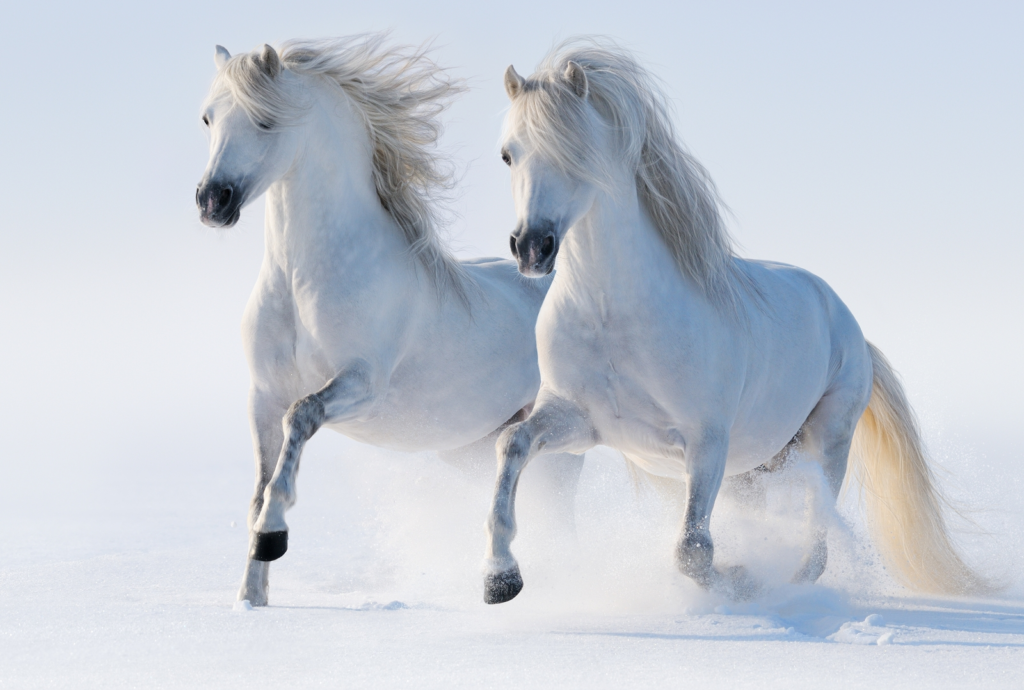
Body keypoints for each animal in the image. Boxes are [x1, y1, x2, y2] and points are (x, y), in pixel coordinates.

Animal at [195, 35, 582, 607]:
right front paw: (251, 598)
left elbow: (301, 419)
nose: (212, 201)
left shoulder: (361, 383)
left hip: (561, 444)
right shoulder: (262, 395)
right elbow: (259, 487)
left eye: (265, 121)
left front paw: (273, 537)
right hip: (470, 449)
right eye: (208, 118)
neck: (302, 280)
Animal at [482, 37, 988, 604]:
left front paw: (741, 580)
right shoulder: (579, 421)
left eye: (576, 151)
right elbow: (511, 443)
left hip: (825, 442)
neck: (614, 316)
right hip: (754, 468)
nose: (532, 247)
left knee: (815, 541)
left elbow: (693, 550)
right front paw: (500, 578)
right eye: (508, 154)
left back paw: (787, 586)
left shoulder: (706, 442)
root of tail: (850, 326)